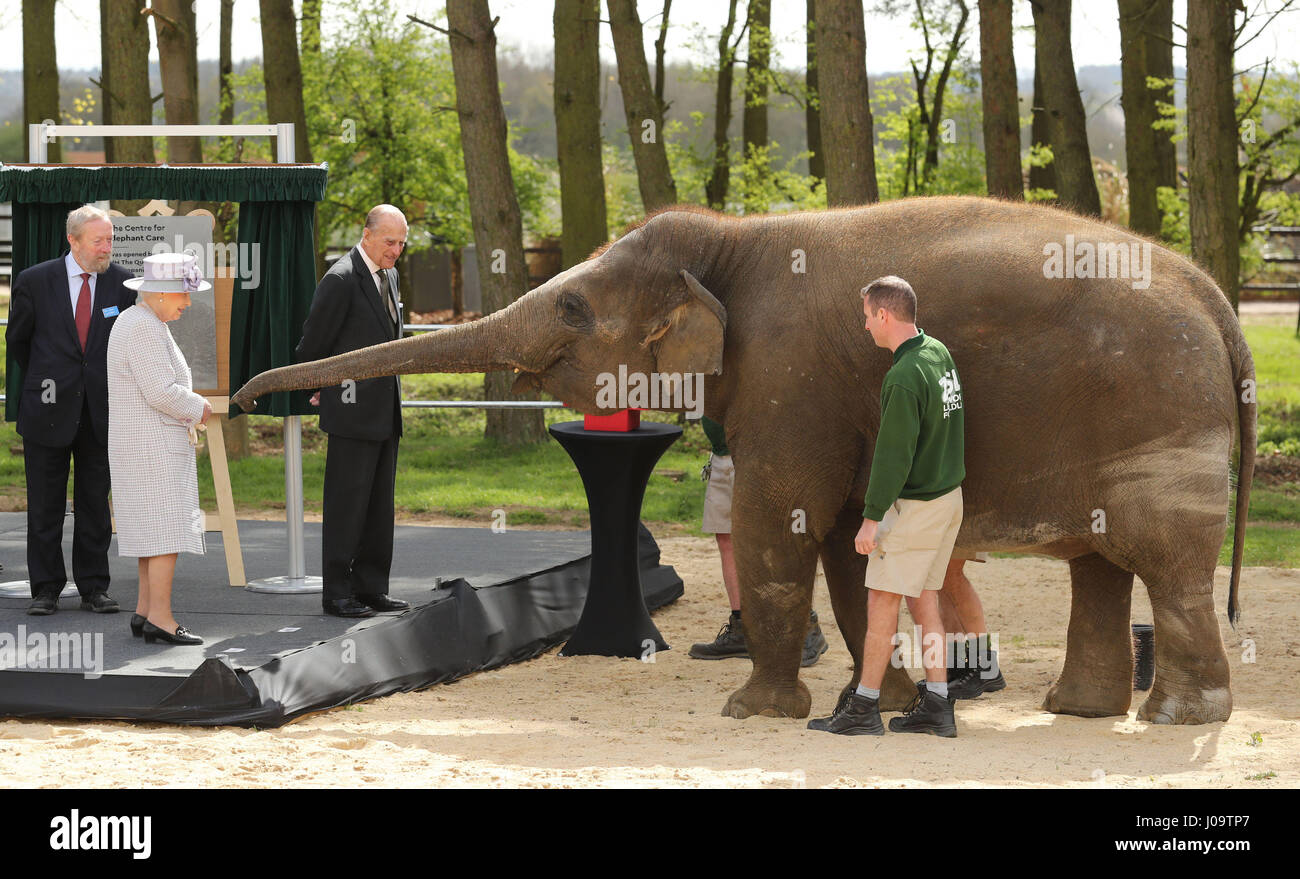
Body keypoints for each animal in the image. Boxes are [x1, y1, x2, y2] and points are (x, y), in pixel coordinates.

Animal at [232, 196, 1255, 726]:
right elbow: (842, 542)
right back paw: (1079, 709)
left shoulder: (789, 379)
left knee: (1165, 561)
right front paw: (867, 701)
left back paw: (1176, 716)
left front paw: (751, 709)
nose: (245, 396)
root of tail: (1213, 293)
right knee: (1099, 564)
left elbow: (778, 520)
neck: (731, 233)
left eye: (569, 307)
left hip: (1161, 415)